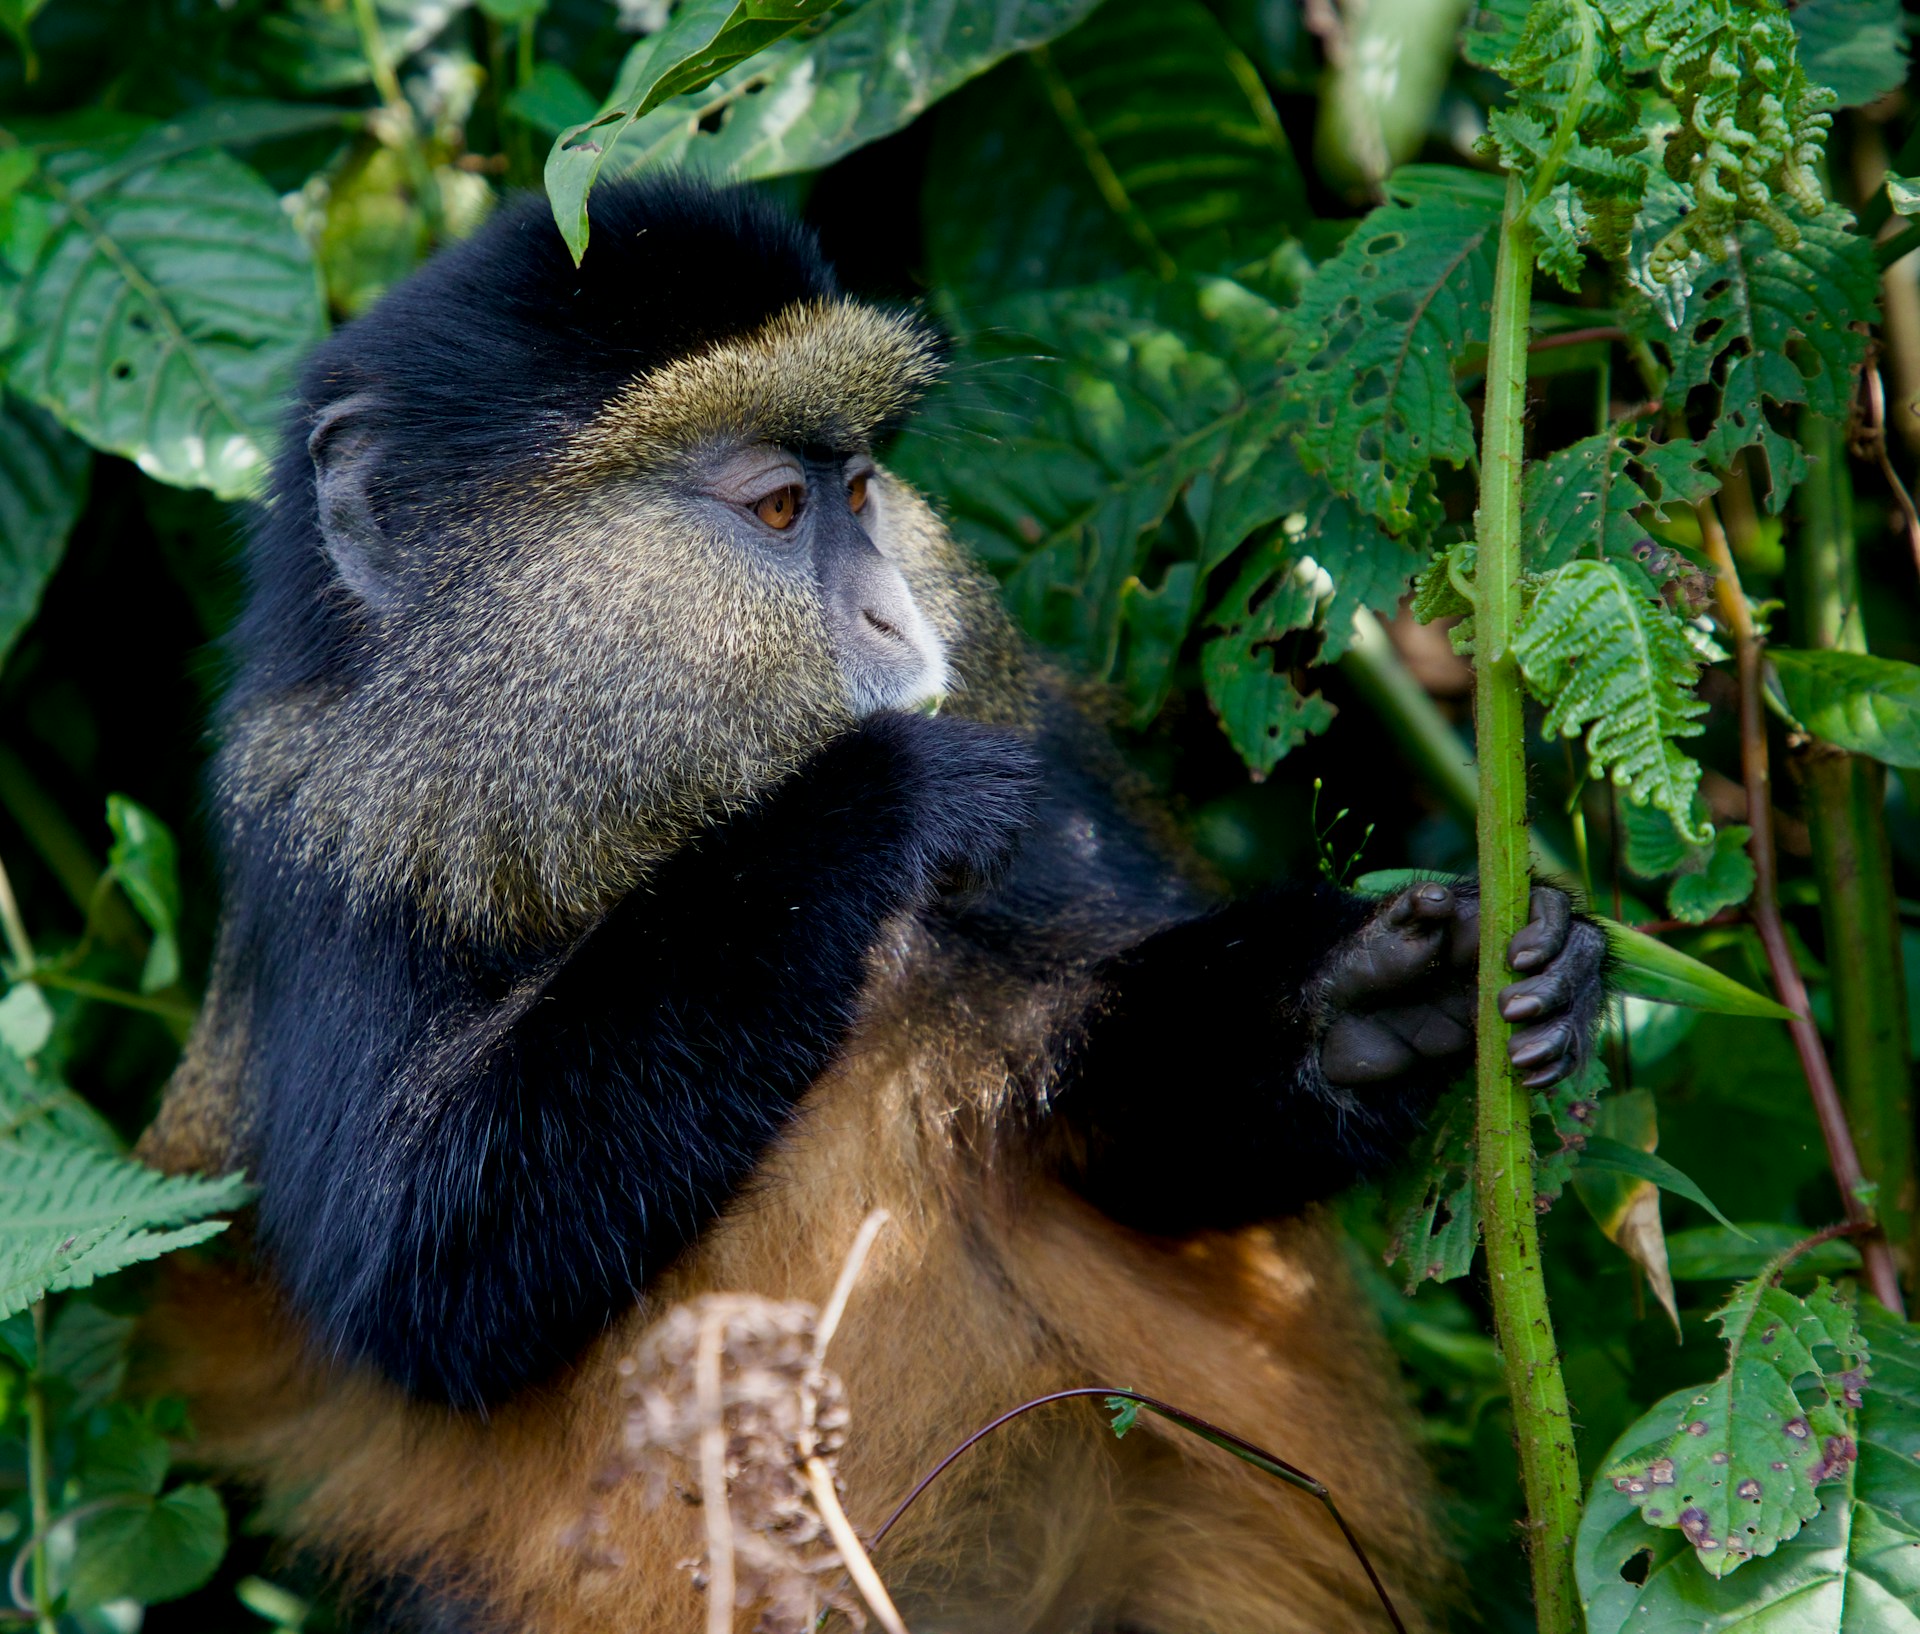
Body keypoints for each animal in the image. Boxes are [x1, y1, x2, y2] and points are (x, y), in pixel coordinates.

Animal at [137, 176, 1608, 1634]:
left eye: (860, 486)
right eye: (782, 510)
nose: (902, 617)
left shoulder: (1045, 764)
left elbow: (1125, 1142)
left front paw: (1380, 999)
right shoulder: (330, 851)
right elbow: (418, 1279)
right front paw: (875, 799)